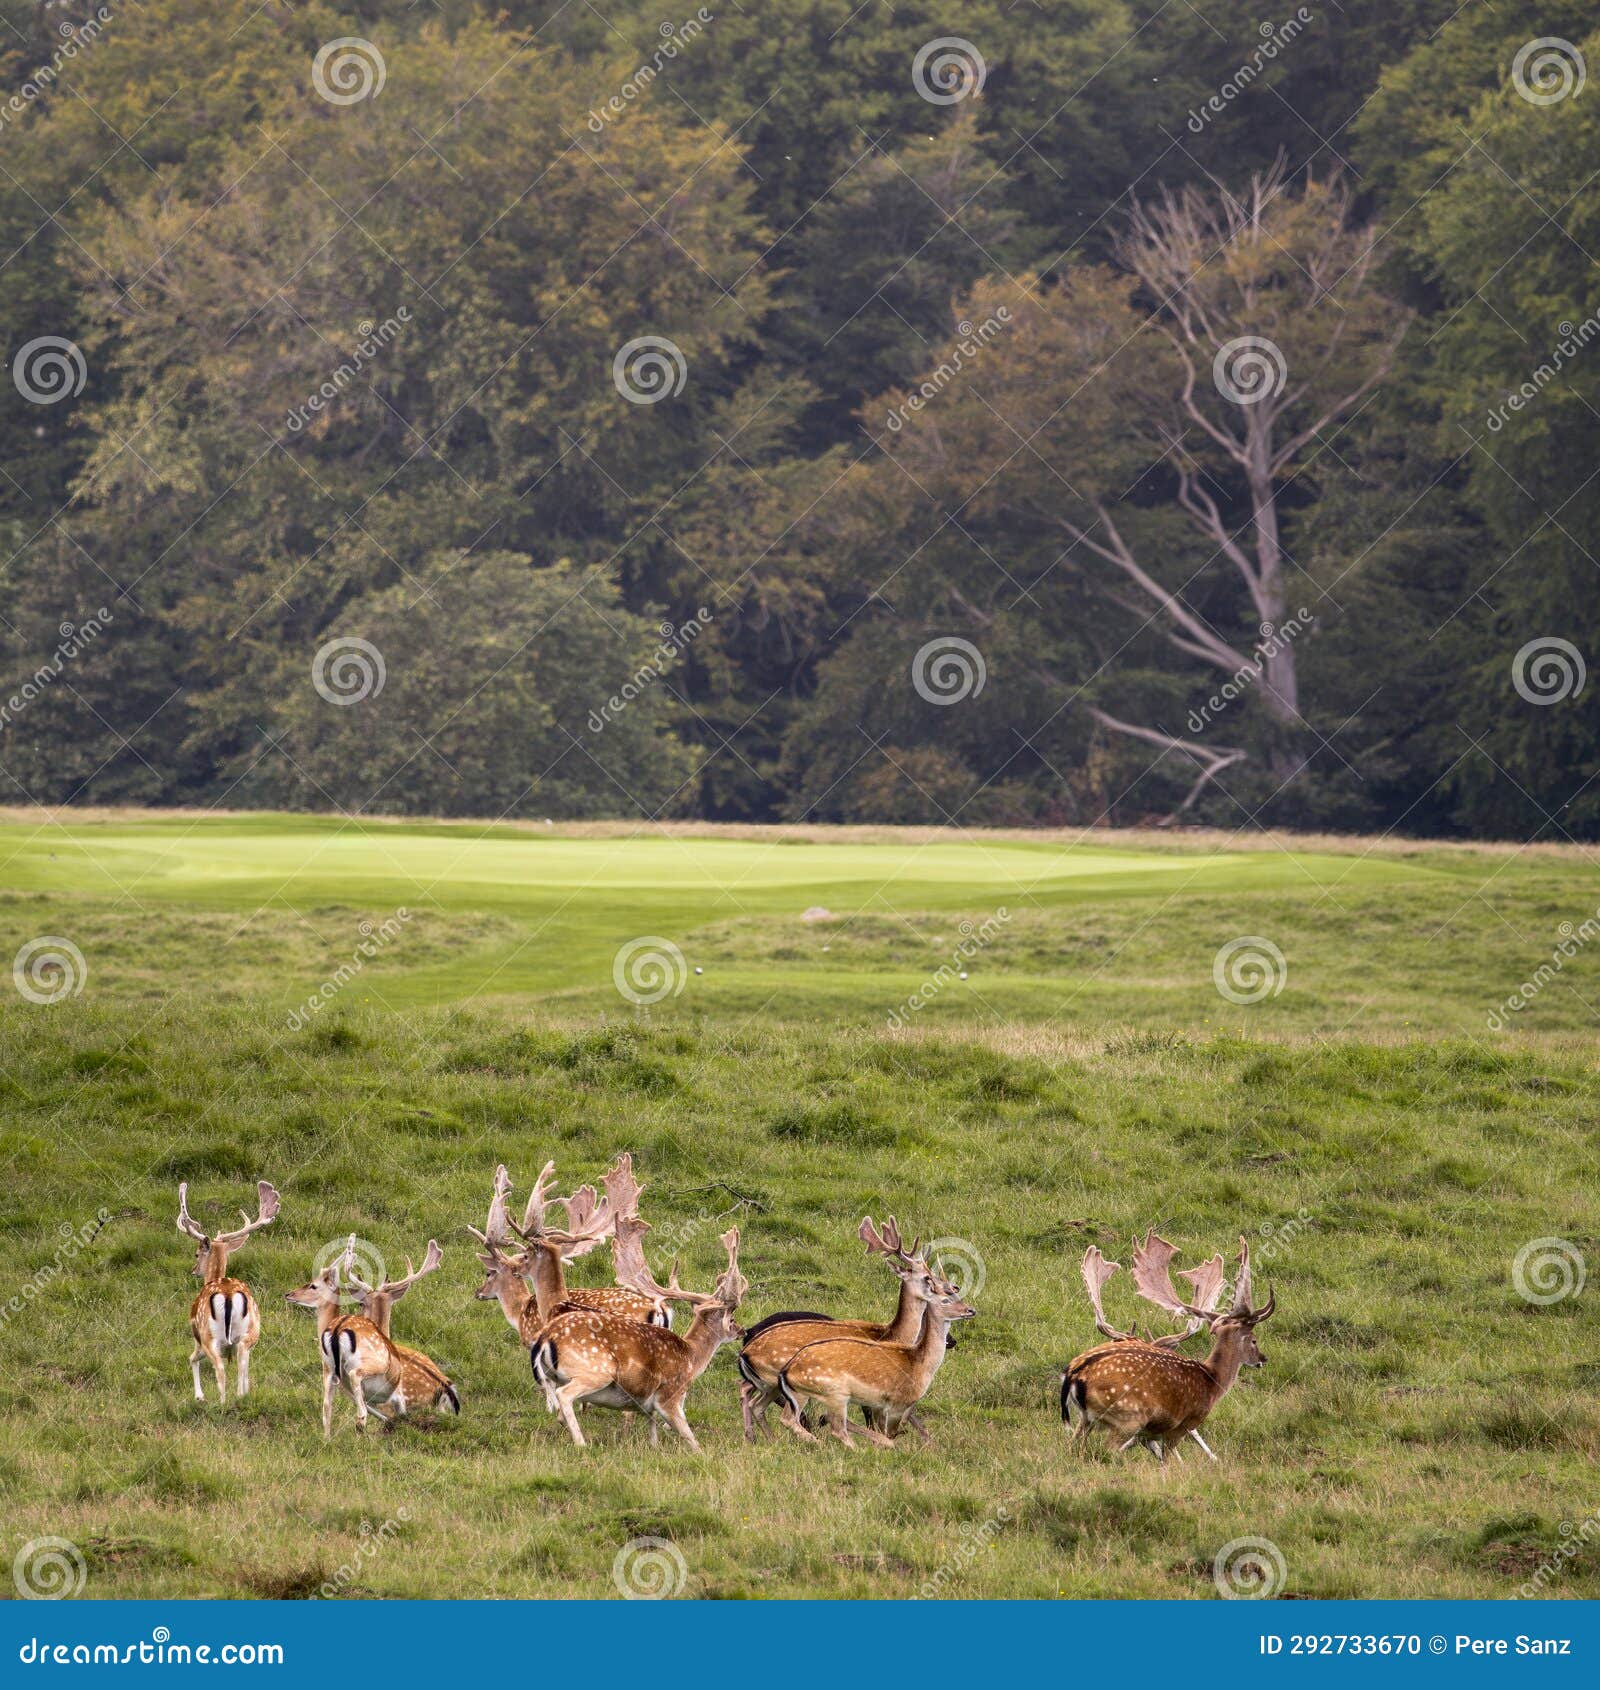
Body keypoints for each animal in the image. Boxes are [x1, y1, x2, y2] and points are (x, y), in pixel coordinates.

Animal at [176, 1179, 279, 1405]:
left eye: (196, 1253)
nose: (193, 1270)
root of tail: (229, 1295)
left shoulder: (197, 1338)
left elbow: (191, 1359)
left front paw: (199, 1396)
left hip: (209, 1337)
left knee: (220, 1371)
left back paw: (221, 1404)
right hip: (248, 1335)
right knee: (241, 1366)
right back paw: (240, 1397)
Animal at [531, 1222, 747, 1450]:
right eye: (731, 1318)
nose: (743, 1330)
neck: (692, 1356)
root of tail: (544, 1338)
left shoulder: (648, 1406)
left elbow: (653, 1432)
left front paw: (653, 1446)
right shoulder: (670, 1395)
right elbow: (691, 1439)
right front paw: (700, 1451)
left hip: (553, 1375)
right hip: (594, 1371)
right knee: (564, 1396)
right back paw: (581, 1443)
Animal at [737, 1216, 948, 1441]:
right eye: (927, 1277)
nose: (951, 1289)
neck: (892, 1334)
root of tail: (745, 1350)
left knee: (754, 1401)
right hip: (778, 1381)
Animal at [773, 1259, 975, 1449]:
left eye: (959, 1296)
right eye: (945, 1300)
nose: (971, 1310)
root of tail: (787, 1370)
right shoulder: (897, 1403)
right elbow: (887, 1430)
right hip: (834, 1394)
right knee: (832, 1427)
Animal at [1061, 1230, 1275, 1462]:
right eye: (1254, 1340)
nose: (1263, 1358)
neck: (1211, 1380)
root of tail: (1074, 1374)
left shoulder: (1153, 1432)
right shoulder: (1182, 1425)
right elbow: (1171, 1459)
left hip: (1086, 1419)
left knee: (1074, 1445)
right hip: (1127, 1417)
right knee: (1109, 1449)